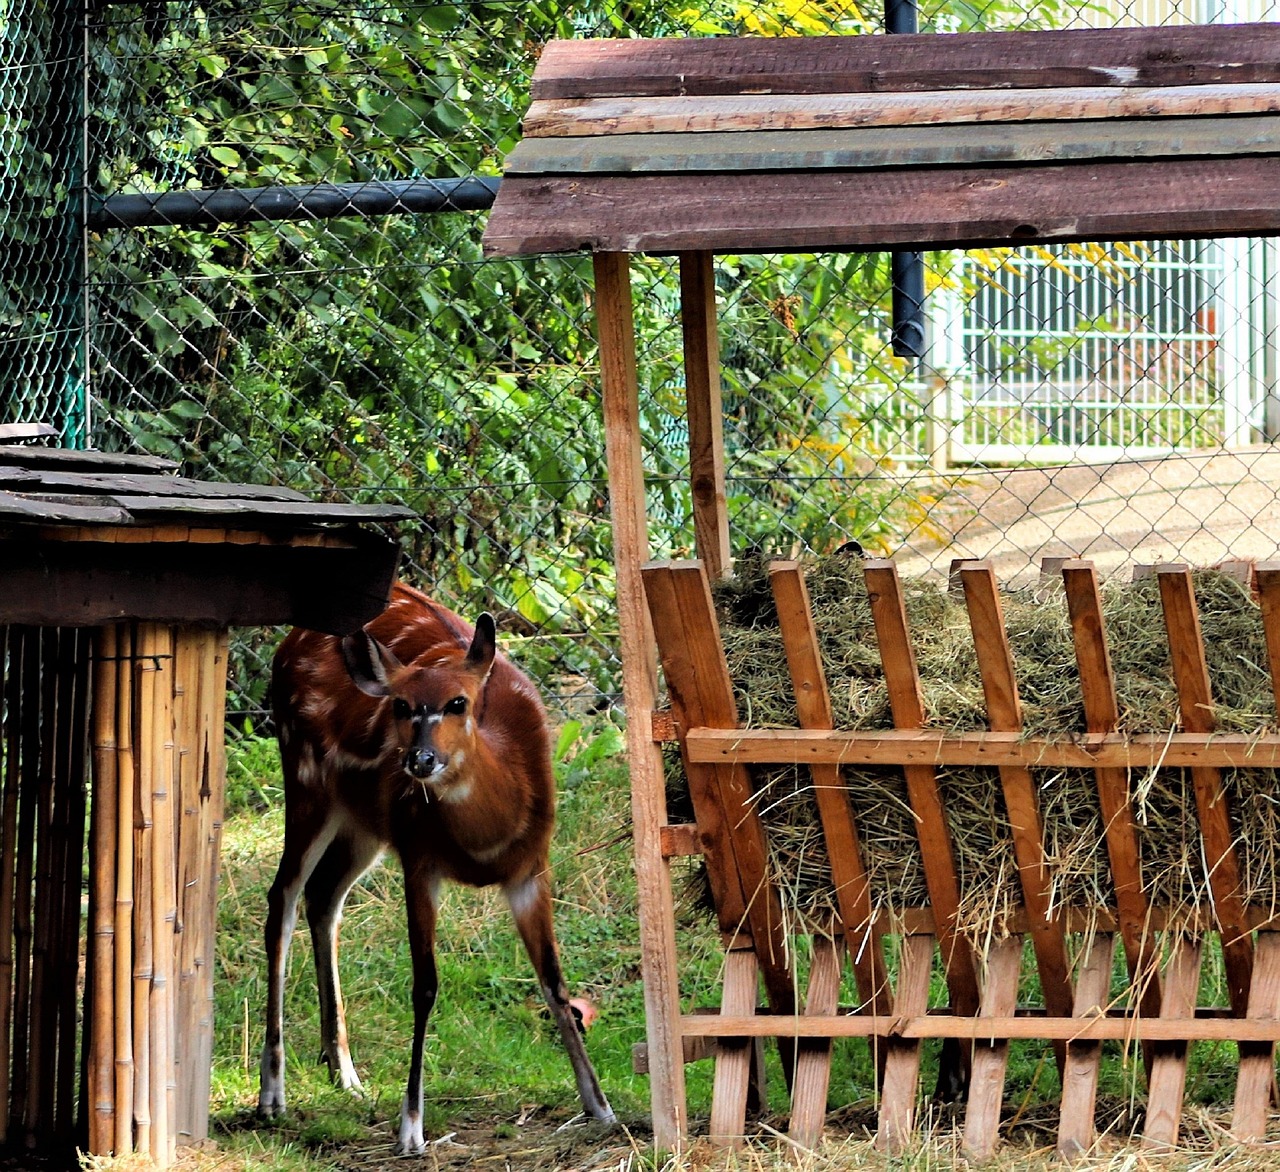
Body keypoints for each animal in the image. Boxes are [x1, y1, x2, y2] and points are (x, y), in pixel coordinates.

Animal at [257, 583, 615, 1153]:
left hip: (363, 824)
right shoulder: (419, 860)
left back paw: (344, 1072)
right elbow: (425, 985)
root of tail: (288, 644)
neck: (486, 842)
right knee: (283, 899)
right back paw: (273, 1094)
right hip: (306, 777)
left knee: (323, 896)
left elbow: (555, 982)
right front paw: (410, 1129)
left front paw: (600, 1107)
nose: (419, 761)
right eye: (401, 706)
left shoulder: (531, 869)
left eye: (458, 703)